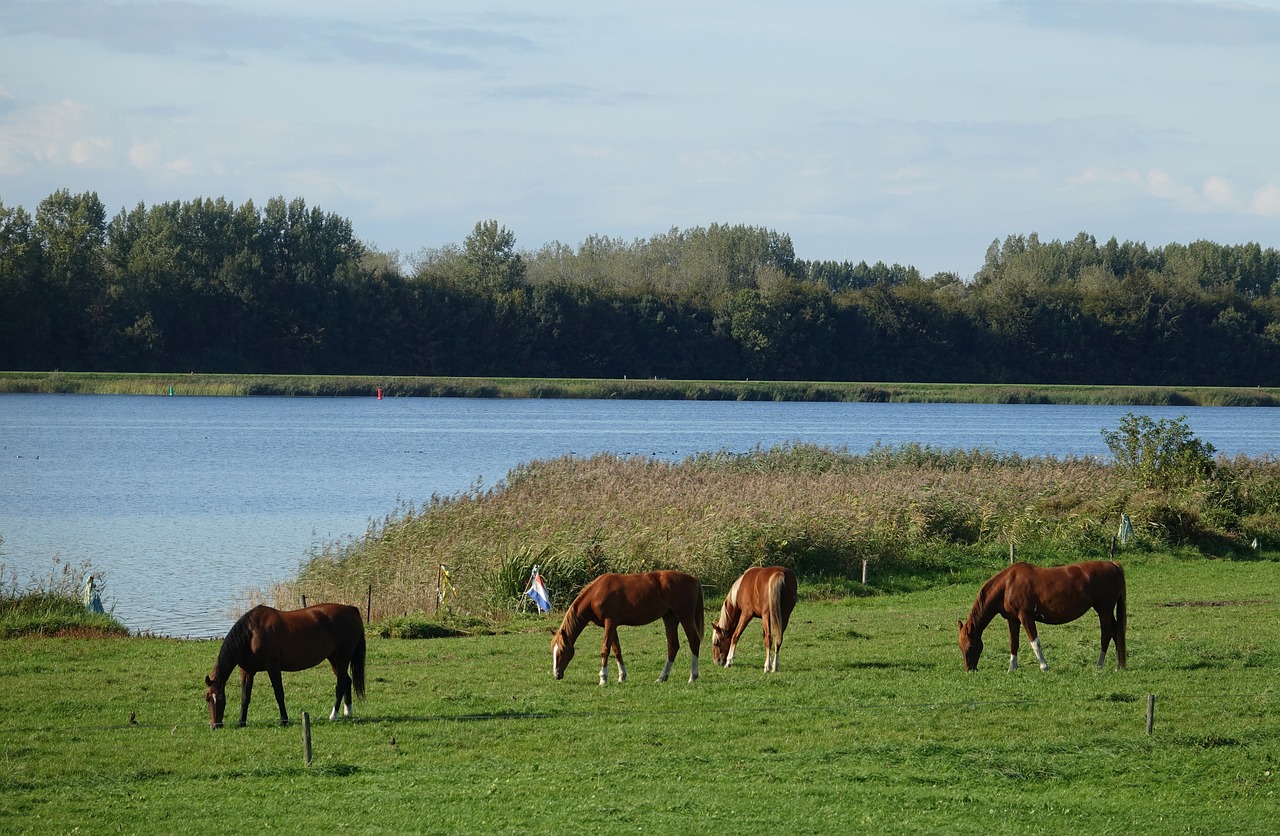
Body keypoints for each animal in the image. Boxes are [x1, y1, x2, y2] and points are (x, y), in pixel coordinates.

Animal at [204, 603, 366, 729]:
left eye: (220, 698)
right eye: (207, 698)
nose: (215, 726)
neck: (251, 634)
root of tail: (351, 609)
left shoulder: (273, 668)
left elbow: (279, 694)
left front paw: (284, 720)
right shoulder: (247, 671)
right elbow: (245, 698)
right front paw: (241, 722)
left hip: (343, 657)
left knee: (340, 684)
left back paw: (333, 716)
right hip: (334, 659)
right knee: (346, 680)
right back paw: (348, 712)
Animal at [551, 570, 704, 685]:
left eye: (562, 651)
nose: (557, 674)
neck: (596, 593)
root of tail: (694, 579)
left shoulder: (609, 623)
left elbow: (605, 649)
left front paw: (603, 678)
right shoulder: (612, 626)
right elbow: (616, 649)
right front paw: (622, 676)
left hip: (684, 616)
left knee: (694, 641)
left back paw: (693, 676)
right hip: (670, 618)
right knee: (673, 646)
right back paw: (662, 677)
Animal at [958, 560, 1127, 672]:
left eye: (970, 646)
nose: (969, 669)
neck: (1007, 584)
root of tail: (1114, 564)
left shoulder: (1026, 616)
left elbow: (1035, 642)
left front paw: (1044, 666)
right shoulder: (1013, 620)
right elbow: (1014, 643)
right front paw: (1012, 668)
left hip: (1104, 610)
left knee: (1106, 635)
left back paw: (1099, 665)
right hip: (1106, 611)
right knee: (1115, 632)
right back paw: (1119, 666)